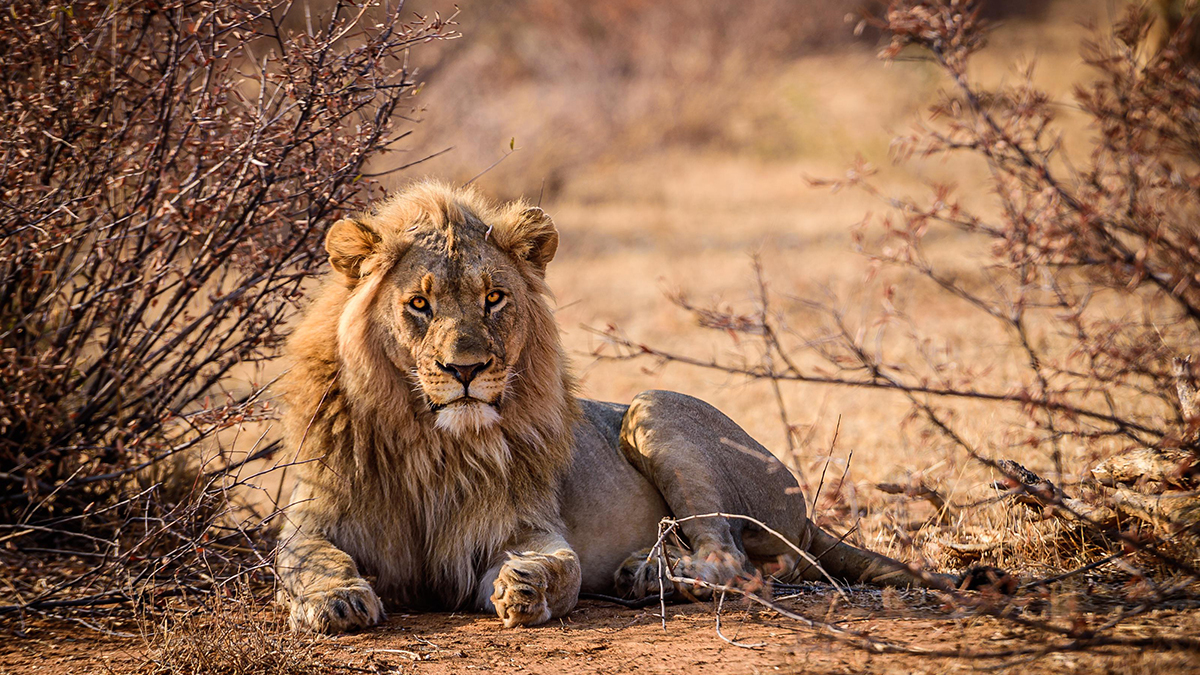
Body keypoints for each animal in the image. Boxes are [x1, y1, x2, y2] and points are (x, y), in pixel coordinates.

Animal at [275, 181, 988, 633]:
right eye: (419, 305)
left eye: (494, 299)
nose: (467, 370)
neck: (430, 439)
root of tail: (806, 513)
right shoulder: (312, 518)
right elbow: (310, 559)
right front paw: (338, 602)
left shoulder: (521, 527)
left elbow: (556, 564)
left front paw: (525, 588)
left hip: (655, 409)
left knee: (734, 562)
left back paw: (649, 575)